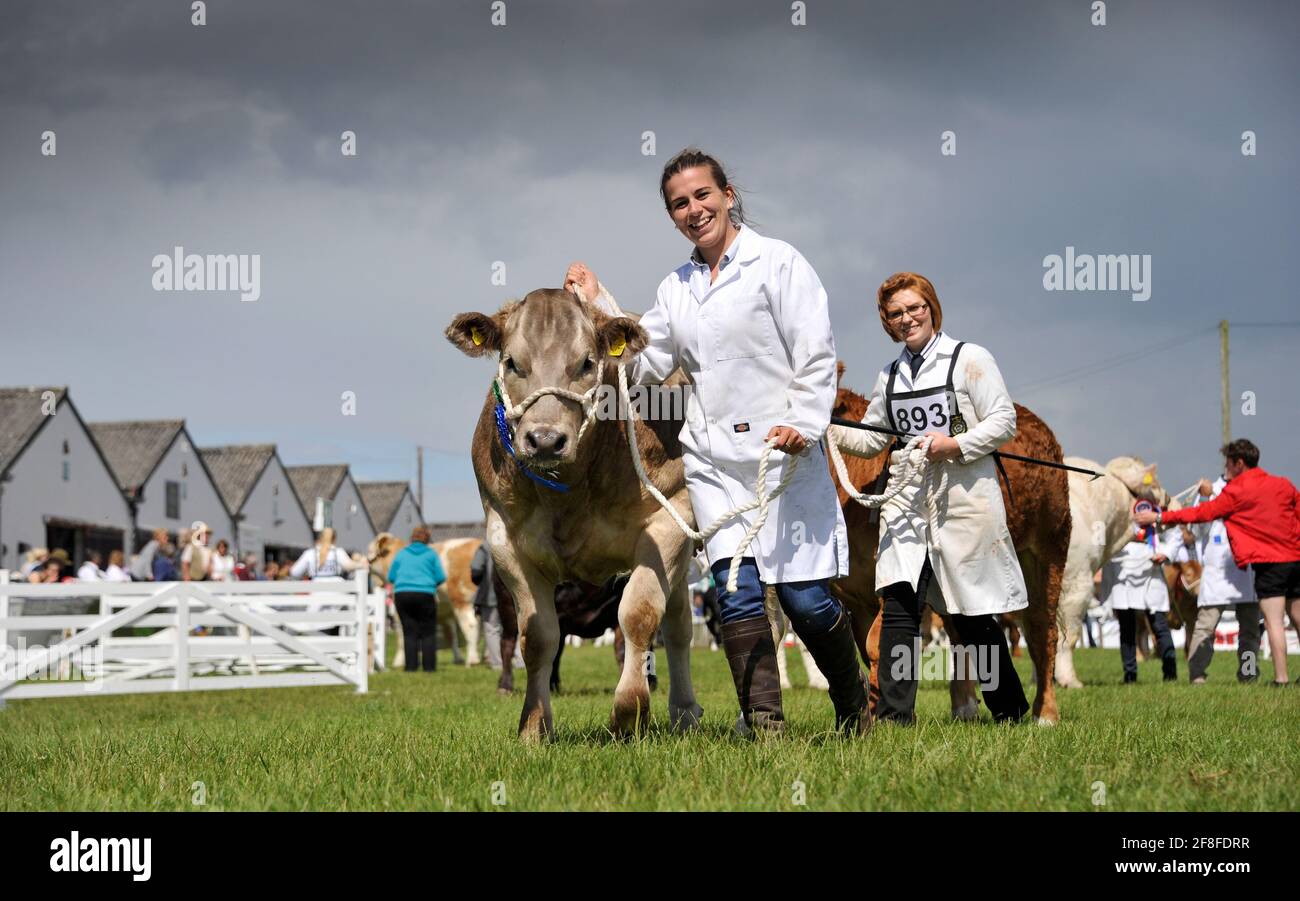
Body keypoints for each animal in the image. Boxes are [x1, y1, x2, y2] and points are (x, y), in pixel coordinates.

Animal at [446, 289, 703, 740]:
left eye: (586, 362)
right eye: (512, 362)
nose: (546, 440)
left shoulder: (668, 525)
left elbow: (638, 616)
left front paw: (629, 711)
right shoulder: (505, 541)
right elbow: (538, 637)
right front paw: (534, 726)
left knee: (676, 627)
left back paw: (685, 710)